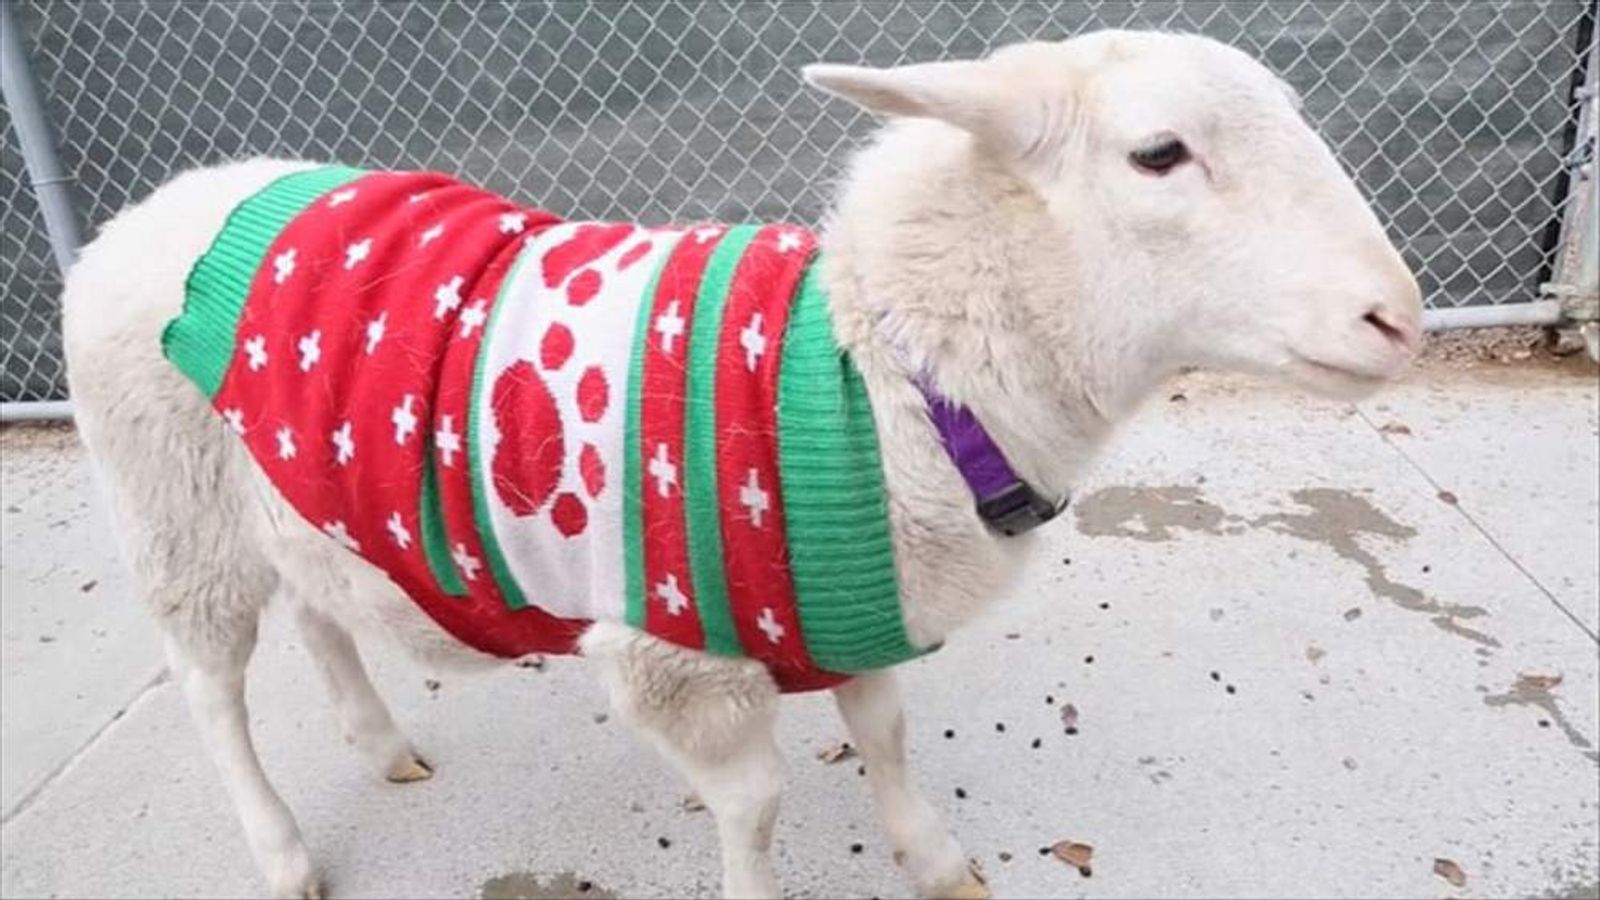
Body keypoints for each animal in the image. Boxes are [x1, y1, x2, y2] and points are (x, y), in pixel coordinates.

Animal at [60, 30, 1421, 900]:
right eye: (1158, 155)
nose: (1397, 319)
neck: (887, 377)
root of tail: (140, 215)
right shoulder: (674, 657)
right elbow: (755, 804)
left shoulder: (851, 606)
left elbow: (886, 736)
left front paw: (937, 864)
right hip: (169, 501)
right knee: (210, 688)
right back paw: (283, 853)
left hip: (284, 490)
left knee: (318, 607)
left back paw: (377, 737)